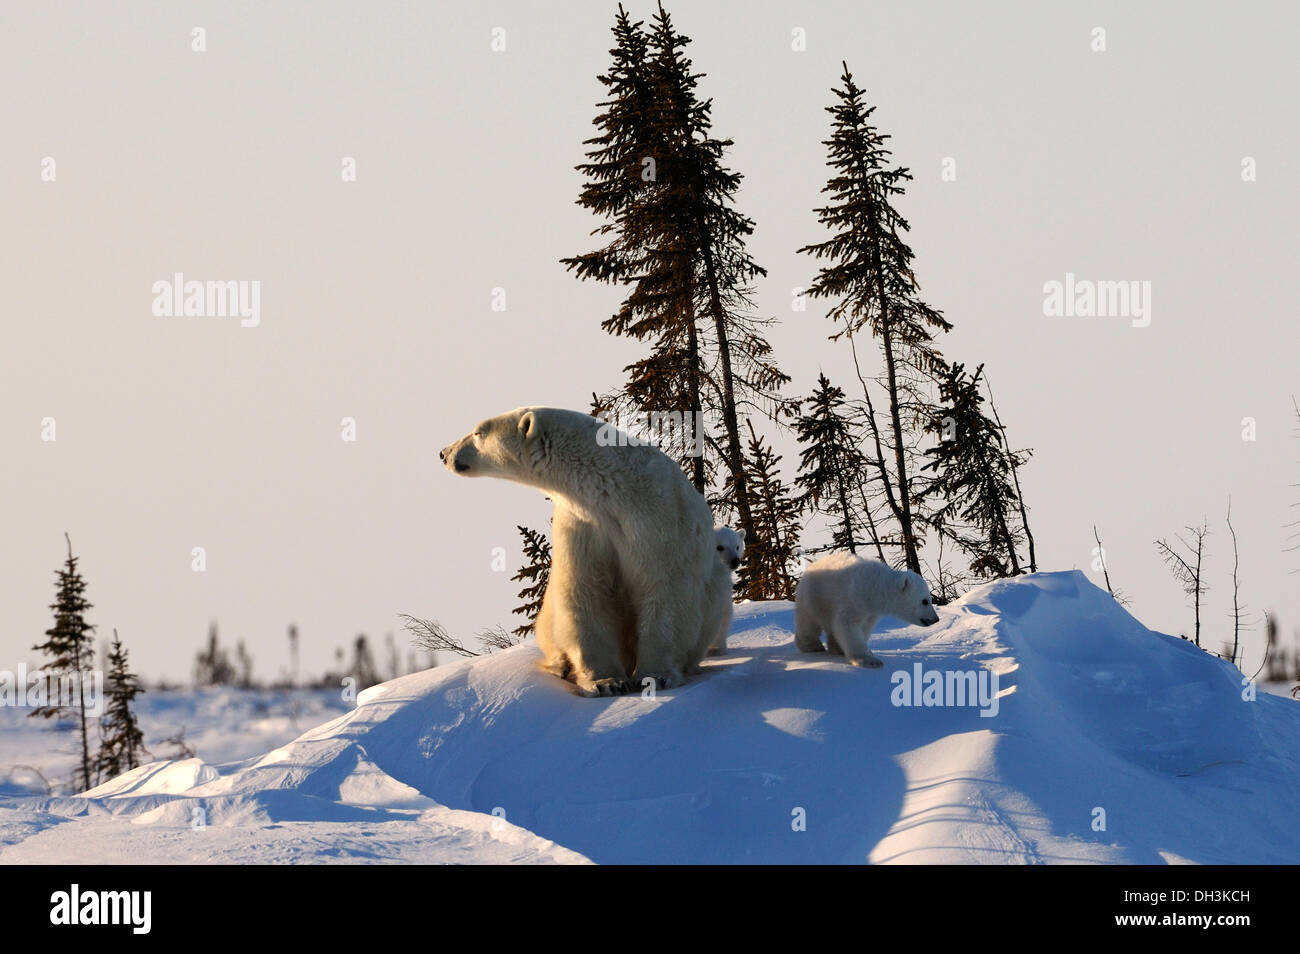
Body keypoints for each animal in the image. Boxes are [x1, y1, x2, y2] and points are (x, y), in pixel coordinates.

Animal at [440, 406, 733, 696]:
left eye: (478, 432)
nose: (444, 453)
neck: (613, 490)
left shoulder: (659, 518)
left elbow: (665, 588)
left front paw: (655, 676)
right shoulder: (583, 523)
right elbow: (585, 589)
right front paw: (606, 682)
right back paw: (561, 666)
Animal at [705, 526, 745, 656]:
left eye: (737, 546)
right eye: (720, 547)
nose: (735, 561)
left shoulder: (722, 592)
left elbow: (723, 618)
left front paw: (717, 649)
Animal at [793, 552, 940, 668]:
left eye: (930, 599)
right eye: (925, 601)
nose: (936, 619)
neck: (874, 587)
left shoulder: (871, 612)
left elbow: (865, 627)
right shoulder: (854, 599)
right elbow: (848, 625)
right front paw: (870, 661)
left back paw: (835, 648)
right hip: (814, 596)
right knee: (808, 622)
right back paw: (812, 646)